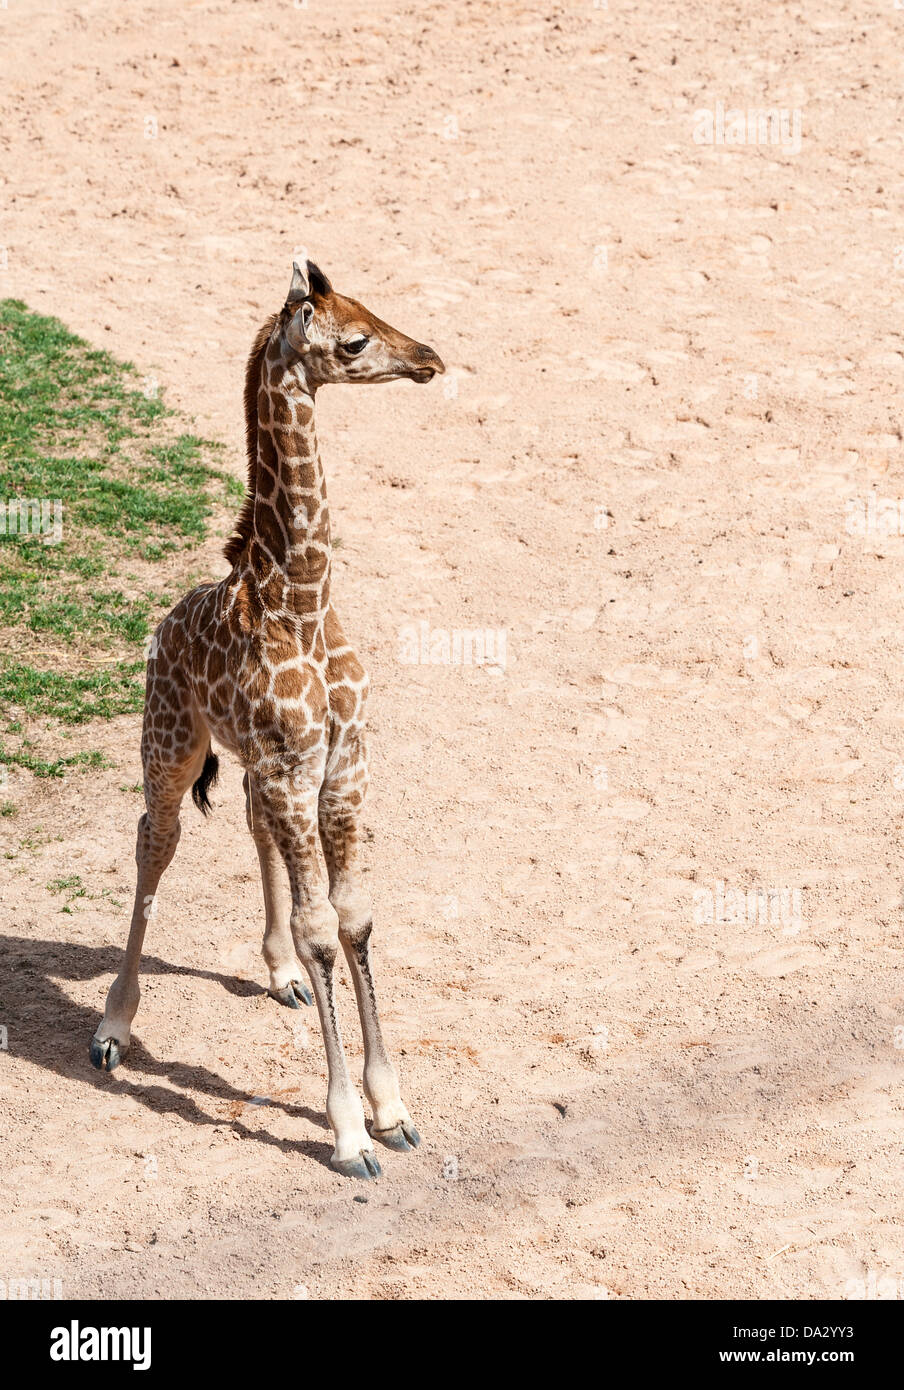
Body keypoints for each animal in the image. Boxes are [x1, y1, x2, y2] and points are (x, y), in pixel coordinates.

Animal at [90, 259, 445, 1179]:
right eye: (351, 341)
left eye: (374, 312)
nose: (428, 359)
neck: (304, 601)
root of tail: (164, 621)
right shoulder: (295, 769)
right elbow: (325, 928)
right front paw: (350, 1133)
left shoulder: (339, 766)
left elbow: (353, 917)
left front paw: (394, 1109)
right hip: (170, 744)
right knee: (155, 840)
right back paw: (111, 1029)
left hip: (251, 764)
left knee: (247, 826)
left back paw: (276, 972)